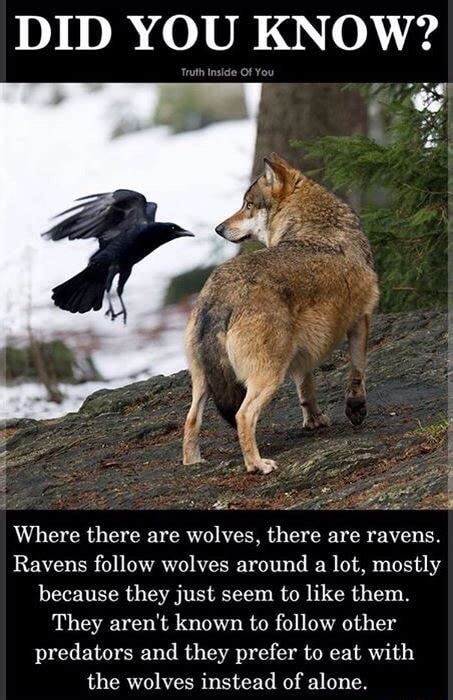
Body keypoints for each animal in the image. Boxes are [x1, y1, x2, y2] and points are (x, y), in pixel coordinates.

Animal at [183, 153, 379, 474]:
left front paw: (314, 421)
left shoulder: (302, 351)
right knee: (243, 416)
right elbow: (357, 372)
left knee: (190, 421)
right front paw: (355, 409)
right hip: (268, 377)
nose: (218, 229)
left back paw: (194, 462)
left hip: (203, 382)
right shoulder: (360, 320)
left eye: (248, 205)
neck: (314, 224)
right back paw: (257, 465)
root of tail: (220, 295)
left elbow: (306, 389)